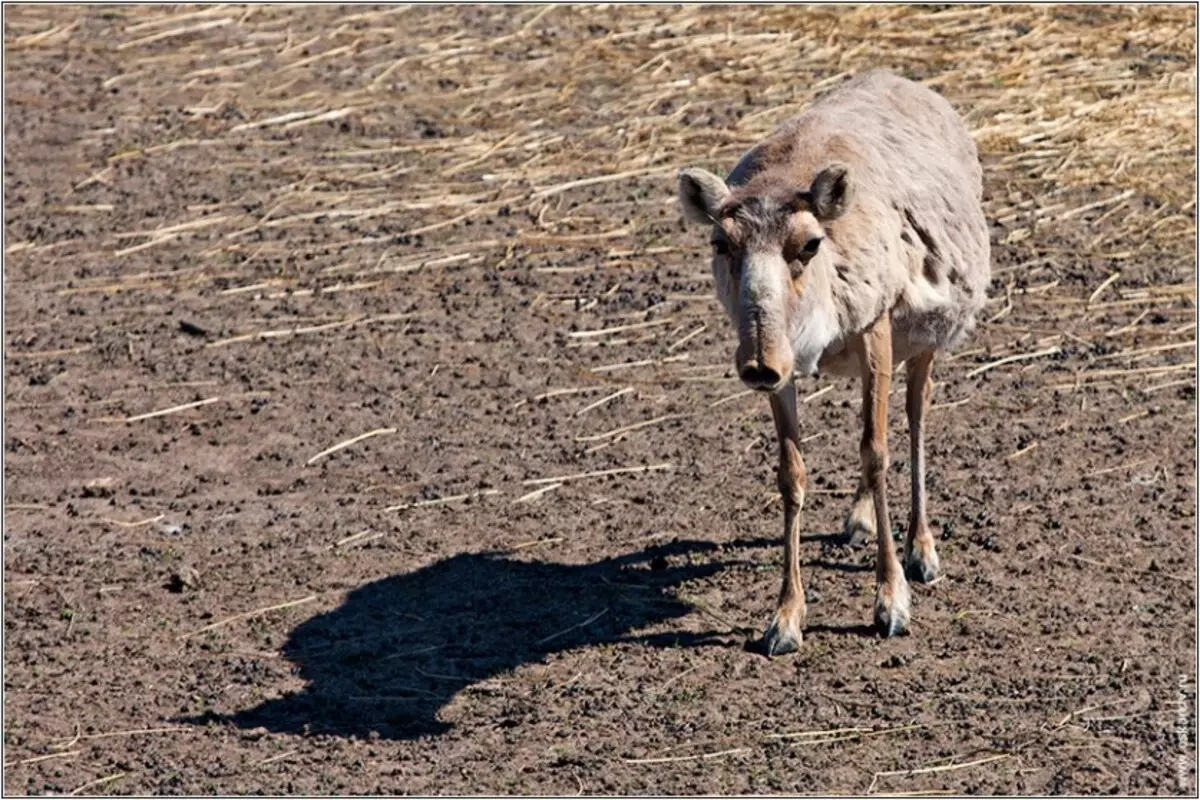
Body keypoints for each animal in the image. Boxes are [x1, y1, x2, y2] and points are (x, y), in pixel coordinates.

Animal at [681, 70, 988, 657]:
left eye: (810, 244)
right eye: (720, 243)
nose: (756, 362)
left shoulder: (876, 330)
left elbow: (877, 453)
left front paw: (891, 600)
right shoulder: (784, 374)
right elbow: (792, 472)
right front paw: (786, 617)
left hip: (925, 336)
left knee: (914, 417)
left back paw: (921, 549)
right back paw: (860, 518)